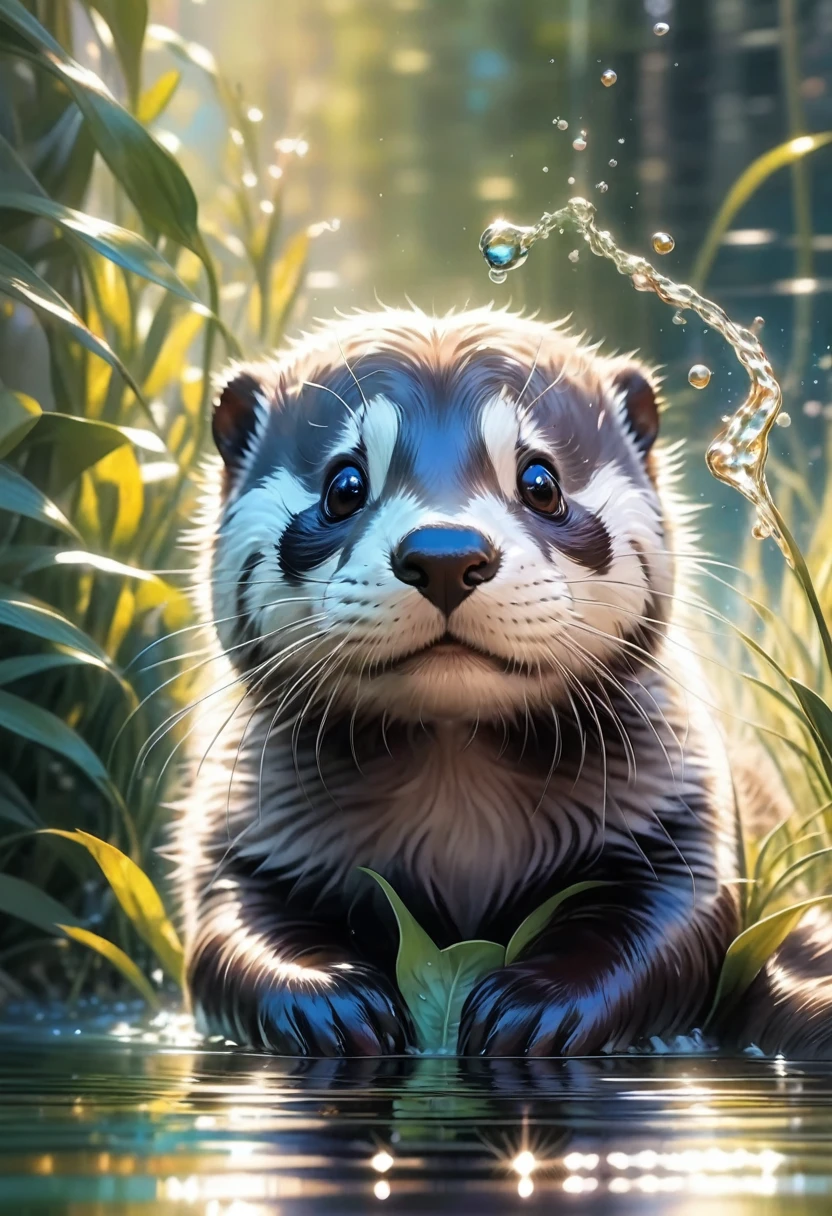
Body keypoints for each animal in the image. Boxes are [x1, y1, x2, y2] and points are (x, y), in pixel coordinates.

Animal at [175, 307, 830, 1057]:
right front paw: (335, 1004)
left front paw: (529, 1007)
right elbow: (227, 930)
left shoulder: (678, 805)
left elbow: (673, 924)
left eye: (541, 482)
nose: (445, 555)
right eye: (344, 486)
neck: (457, 787)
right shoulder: (243, 819)